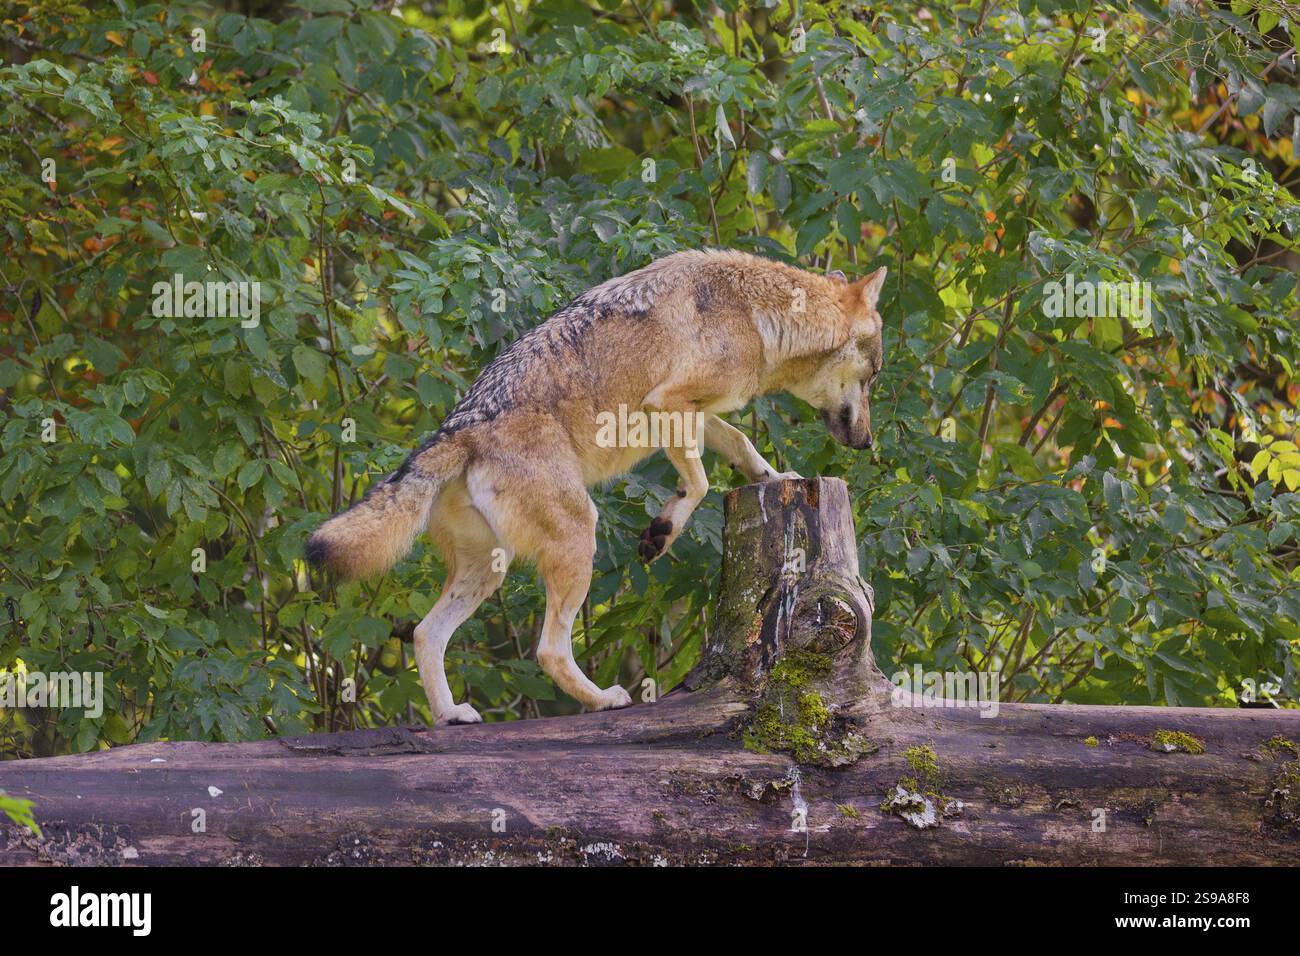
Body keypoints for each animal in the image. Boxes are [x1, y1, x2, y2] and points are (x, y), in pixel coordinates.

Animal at [305, 249, 886, 724]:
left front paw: (776, 477)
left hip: (488, 570)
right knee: (548, 651)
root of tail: (460, 426)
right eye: (874, 376)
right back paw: (604, 700)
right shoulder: (668, 404)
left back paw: (451, 714)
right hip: (576, 534)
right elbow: (698, 483)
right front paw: (662, 529)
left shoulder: (693, 415)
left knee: (427, 633)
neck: (757, 314)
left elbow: (741, 442)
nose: (866, 442)